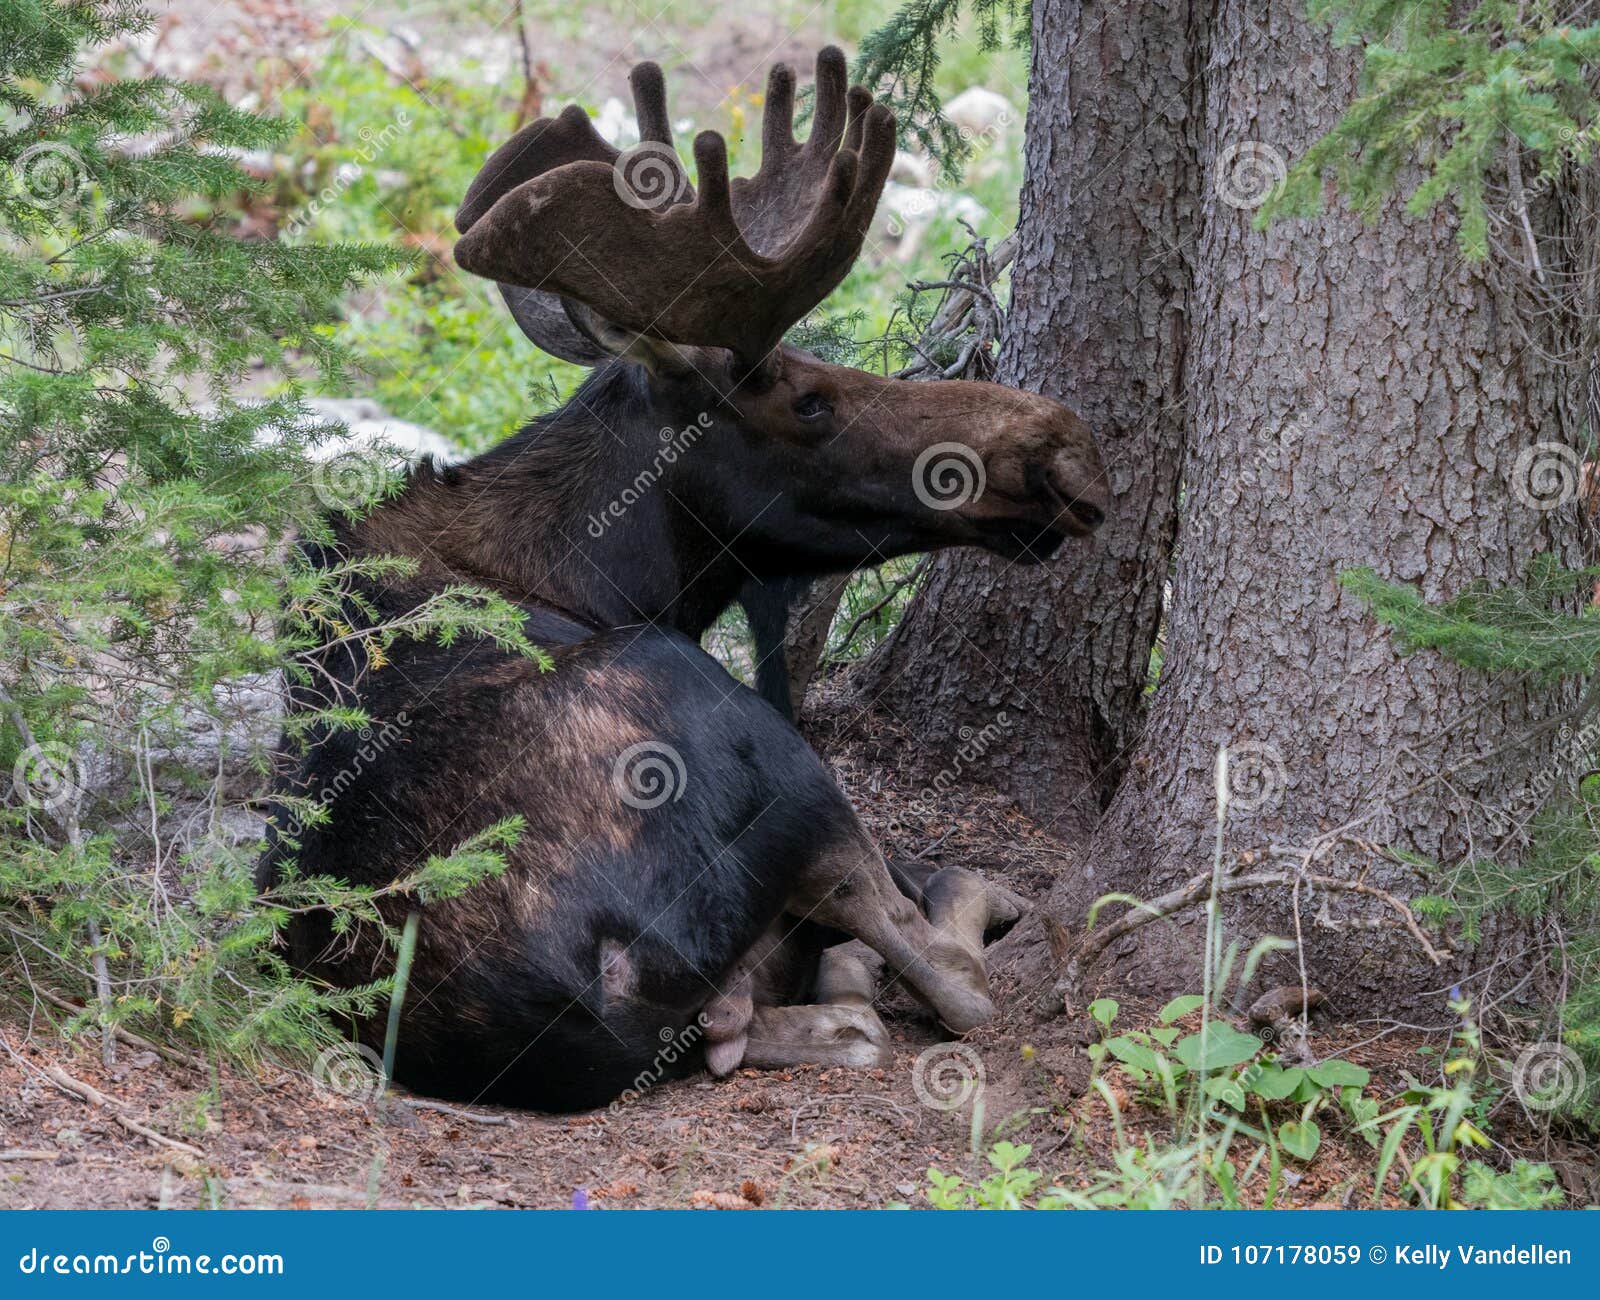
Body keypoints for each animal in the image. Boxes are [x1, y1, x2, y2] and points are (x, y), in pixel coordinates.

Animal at [258, 47, 1107, 1112]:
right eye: (808, 398)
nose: (1062, 449)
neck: (599, 575)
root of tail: (588, 986)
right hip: (758, 741)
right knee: (946, 978)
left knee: (797, 1022)